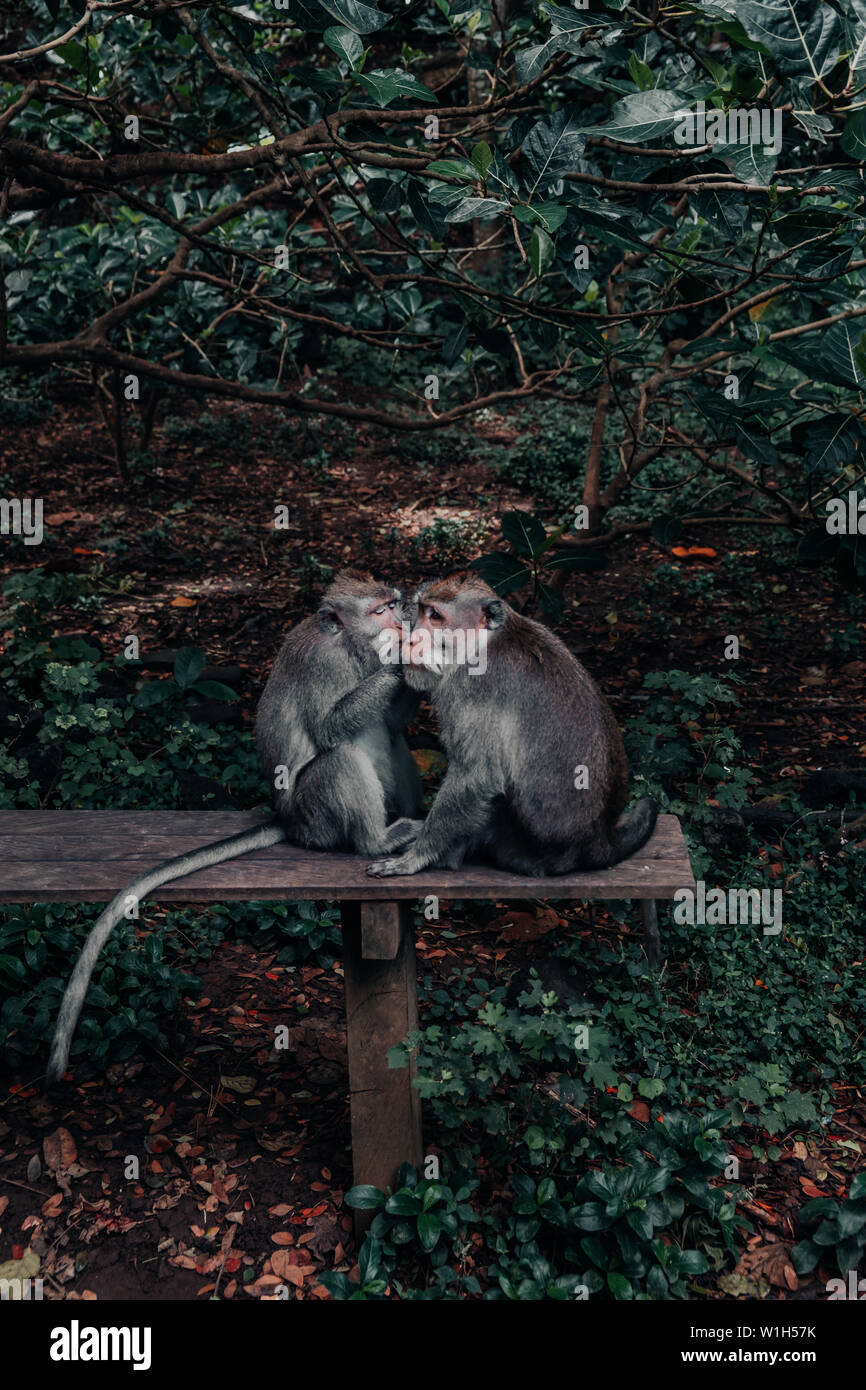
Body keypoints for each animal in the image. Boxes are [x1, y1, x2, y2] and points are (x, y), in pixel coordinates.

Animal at [47, 571, 424, 1083]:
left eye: (392, 603)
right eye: (381, 610)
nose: (403, 618)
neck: (351, 648)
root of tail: (287, 821)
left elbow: (393, 722)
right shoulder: (325, 666)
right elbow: (329, 730)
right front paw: (400, 661)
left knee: (394, 739)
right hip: (315, 817)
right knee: (338, 758)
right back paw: (377, 841)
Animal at [366, 571, 657, 879]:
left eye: (435, 616)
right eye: (422, 611)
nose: (410, 641)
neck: (486, 640)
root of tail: (600, 841)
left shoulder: (471, 685)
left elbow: (476, 776)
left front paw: (416, 857)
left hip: (524, 847)